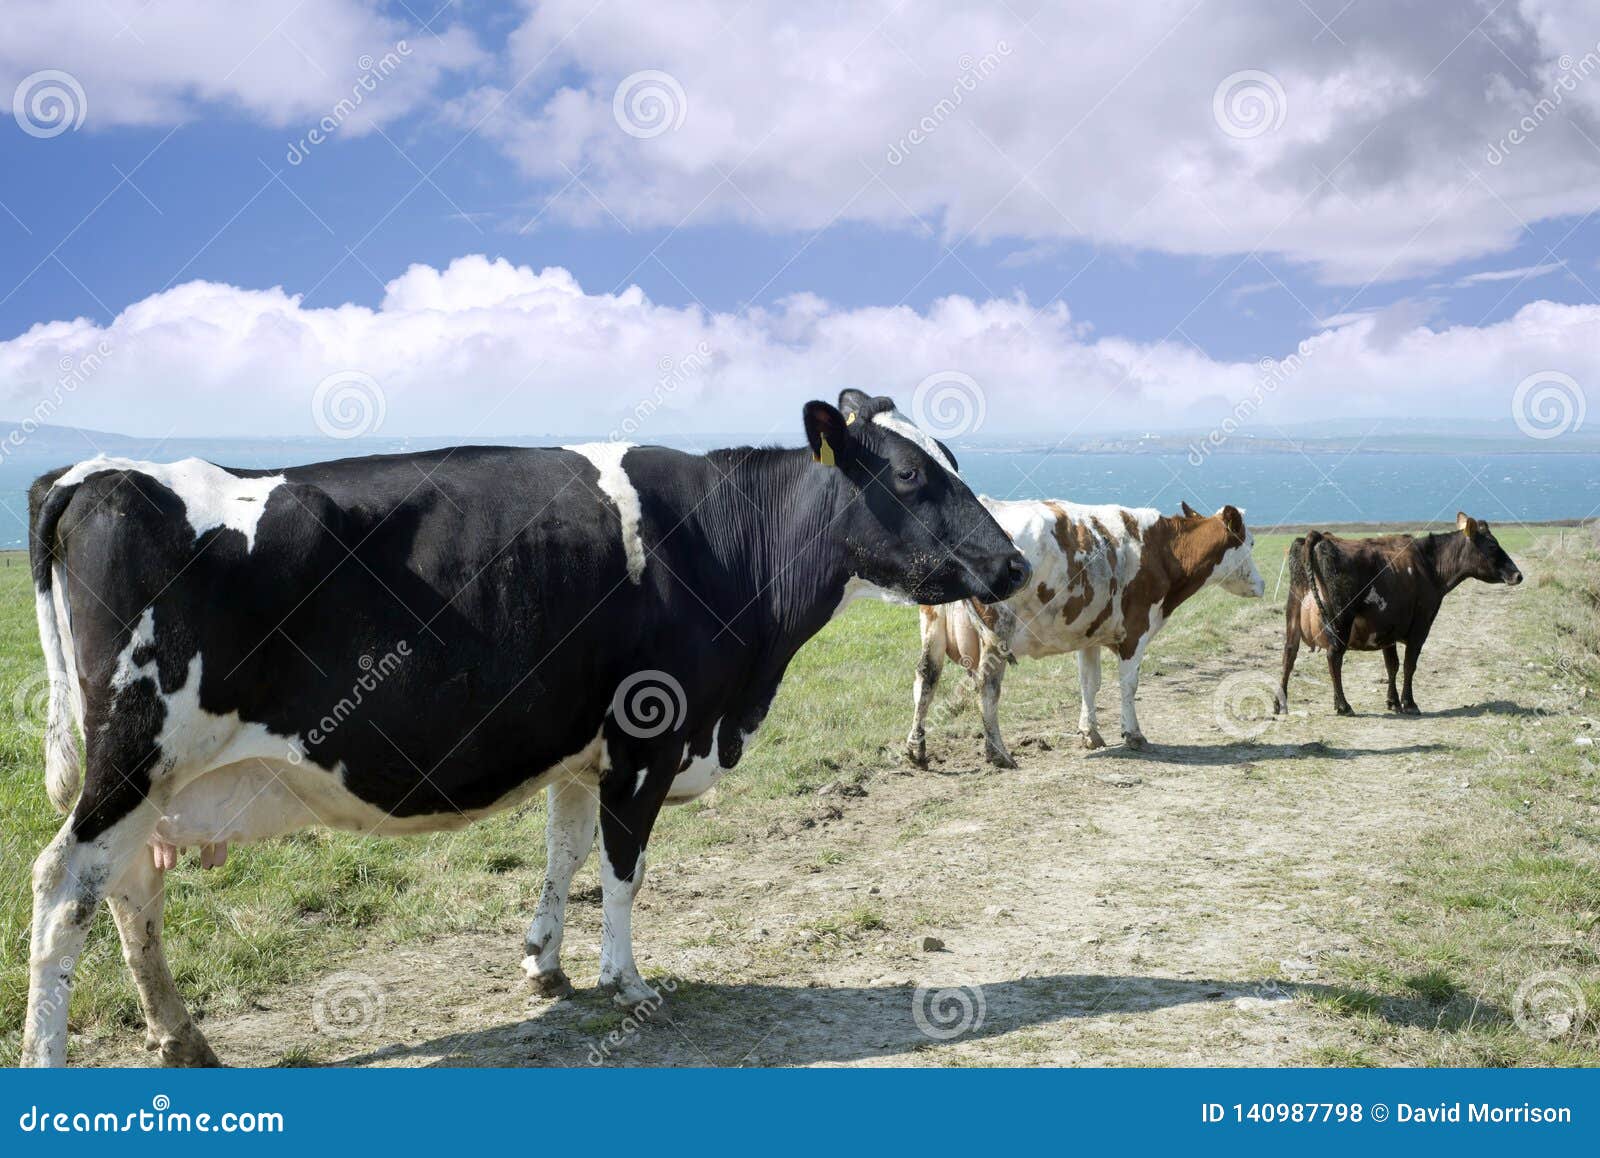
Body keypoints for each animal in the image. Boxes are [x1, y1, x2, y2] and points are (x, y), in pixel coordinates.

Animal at [19, 392, 1030, 1067]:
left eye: (952, 456)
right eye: (910, 474)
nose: (1015, 563)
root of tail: (95, 473)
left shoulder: (583, 749)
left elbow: (565, 851)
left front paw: (545, 964)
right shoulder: (648, 737)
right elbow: (623, 867)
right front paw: (628, 982)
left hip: (155, 781)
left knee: (129, 891)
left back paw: (182, 1035)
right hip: (133, 755)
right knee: (64, 887)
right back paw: (49, 1058)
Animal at [906, 497, 1265, 768]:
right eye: (1250, 542)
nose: (1261, 584)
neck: (1162, 549)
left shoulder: (1088, 633)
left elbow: (1090, 683)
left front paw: (1089, 733)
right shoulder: (1136, 630)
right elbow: (1128, 685)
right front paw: (1133, 734)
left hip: (933, 625)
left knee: (926, 678)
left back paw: (916, 750)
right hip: (998, 632)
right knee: (988, 685)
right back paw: (999, 754)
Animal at [1275, 512, 1523, 717]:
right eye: (1492, 545)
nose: (1518, 575)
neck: (1428, 565)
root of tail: (1319, 537)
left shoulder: (1387, 630)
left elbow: (1392, 665)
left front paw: (1393, 702)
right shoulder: (1420, 627)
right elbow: (1409, 665)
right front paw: (1409, 703)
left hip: (1292, 617)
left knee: (1289, 654)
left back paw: (1280, 703)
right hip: (1341, 622)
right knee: (1333, 658)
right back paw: (1343, 705)